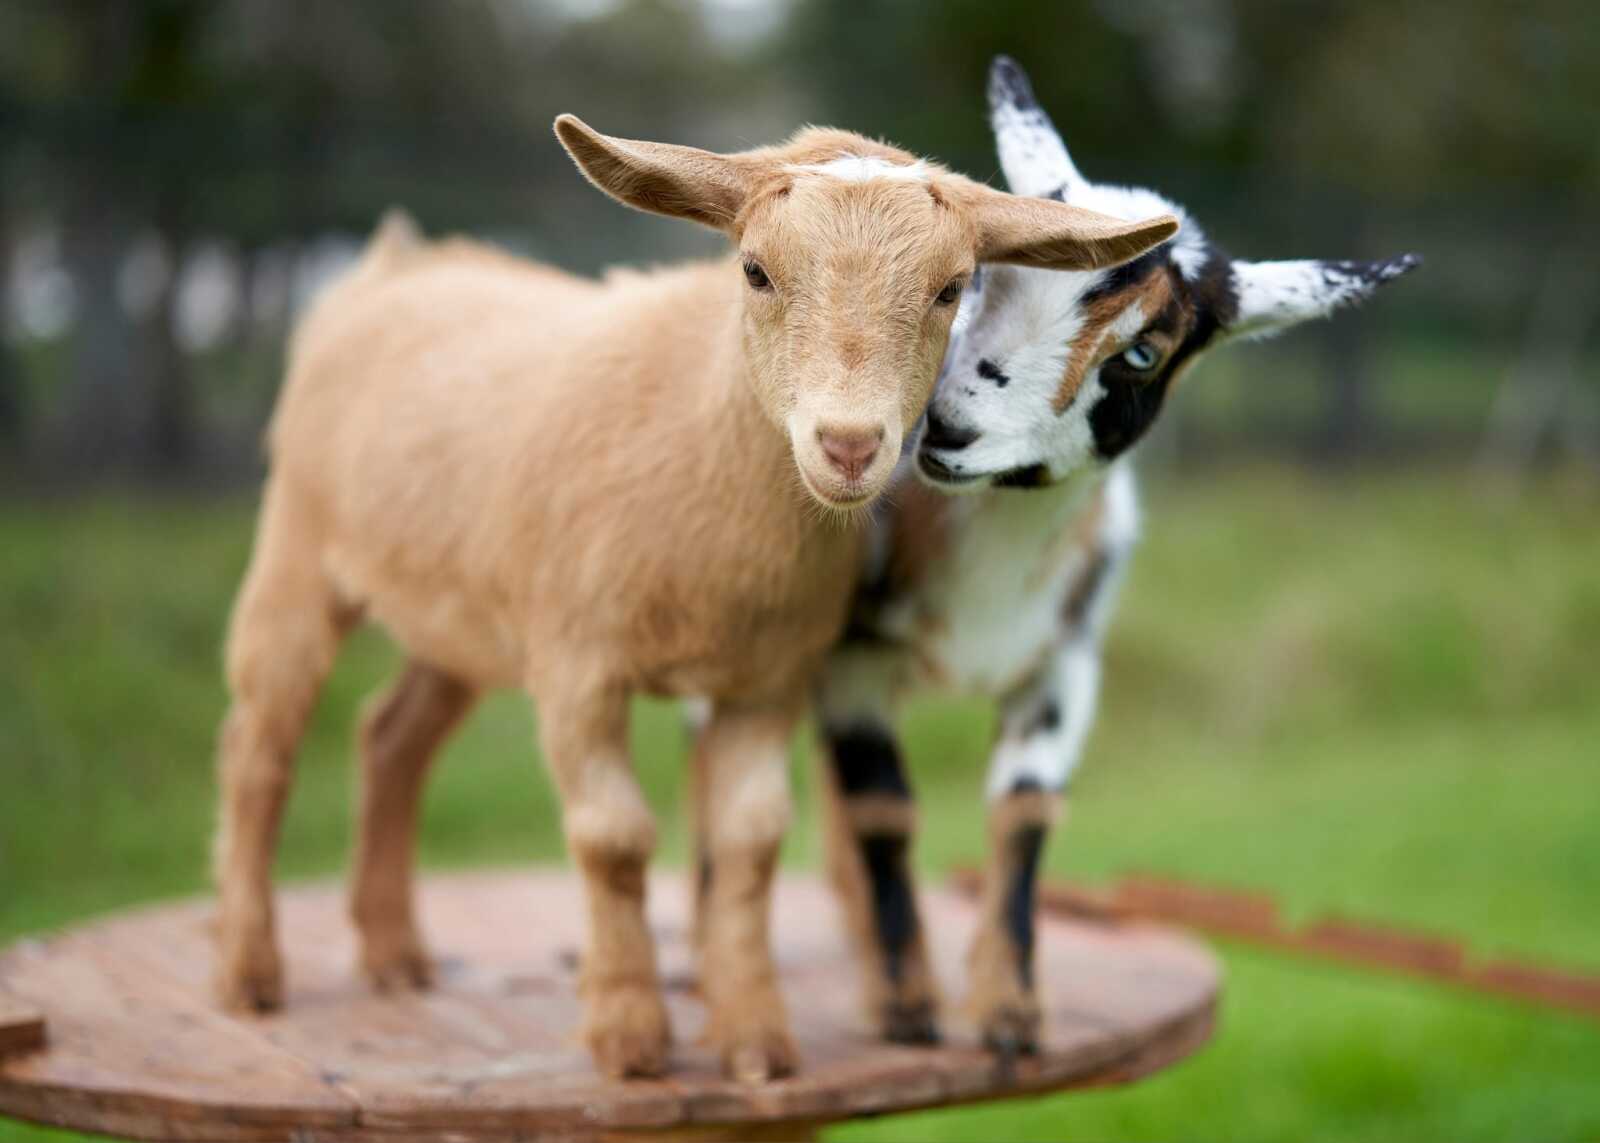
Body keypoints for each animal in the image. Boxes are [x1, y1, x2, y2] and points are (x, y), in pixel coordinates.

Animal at [210, 112, 1178, 1082]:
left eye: (951, 287)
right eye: (754, 270)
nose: (849, 445)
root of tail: (395, 264)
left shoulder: (767, 679)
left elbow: (750, 838)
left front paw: (756, 1040)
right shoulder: (576, 666)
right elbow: (614, 836)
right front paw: (630, 1036)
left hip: (460, 614)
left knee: (391, 736)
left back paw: (395, 954)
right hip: (296, 546)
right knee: (261, 745)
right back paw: (250, 975)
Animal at [784, 57, 1421, 1054]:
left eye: (1145, 353)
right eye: (974, 279)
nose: (949, 428)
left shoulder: (1065, 663)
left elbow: (1025, 807)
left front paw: (1009, 1014)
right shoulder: (849, 657)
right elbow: (883, 806)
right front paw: (905, 1007)